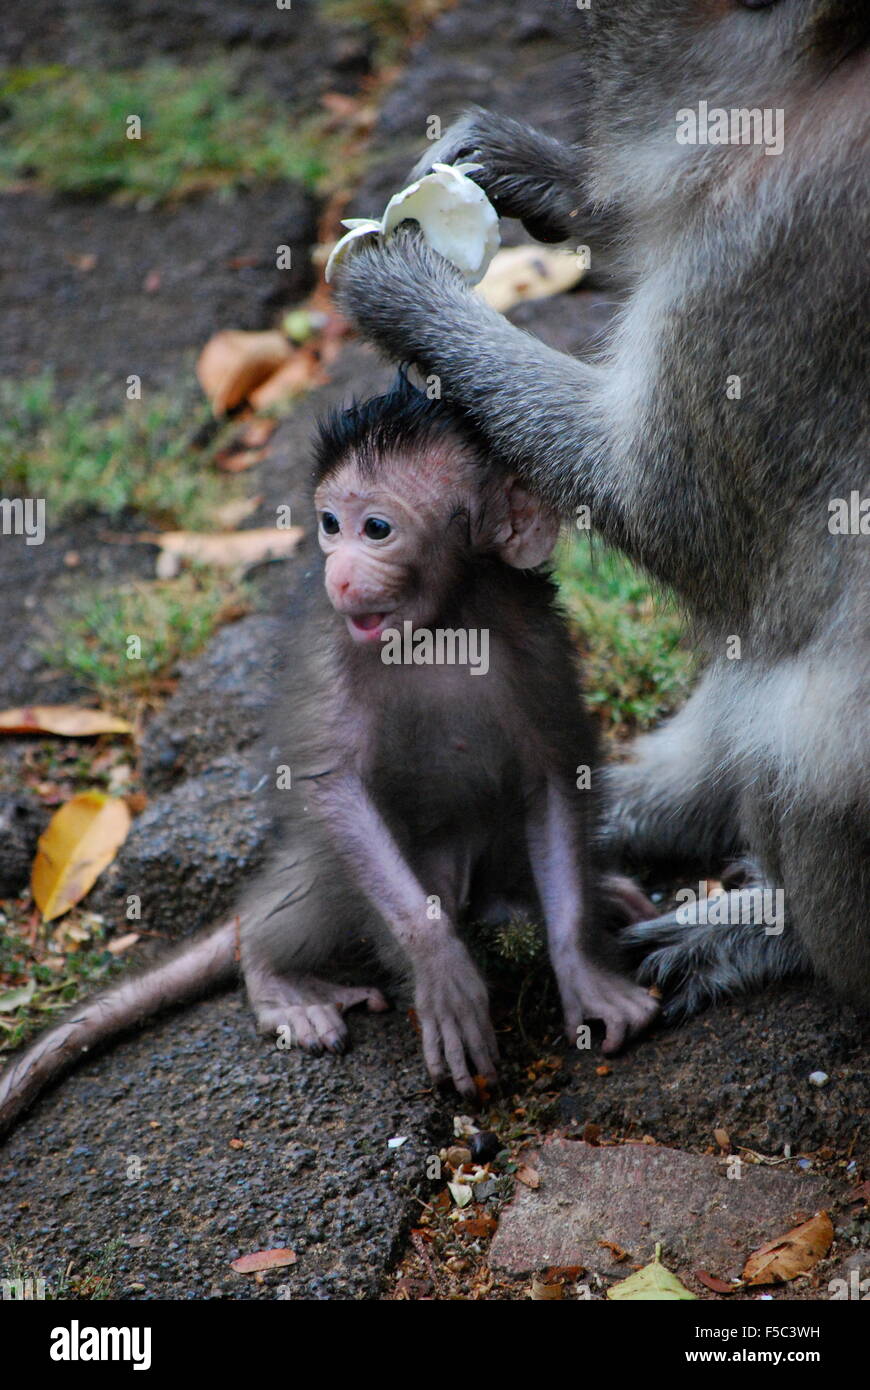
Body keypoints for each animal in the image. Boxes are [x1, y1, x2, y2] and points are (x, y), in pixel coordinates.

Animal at [0, 373, 658, 1136]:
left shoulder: (536, 636)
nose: (338, 575)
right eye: (328, 524)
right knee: (325, 881)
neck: (446, 625)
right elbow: (336, 787)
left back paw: (552, 899)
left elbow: (554, 777)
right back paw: (276, 976)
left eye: (376, 529)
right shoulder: (336, 649)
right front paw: (442, 970)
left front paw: (583, 969)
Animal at [334, 0, 870, 1019]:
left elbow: (671, 511)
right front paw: (538, 171)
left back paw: (780, 936)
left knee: (811, 713)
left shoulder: (775, 257)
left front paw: (404, 287)